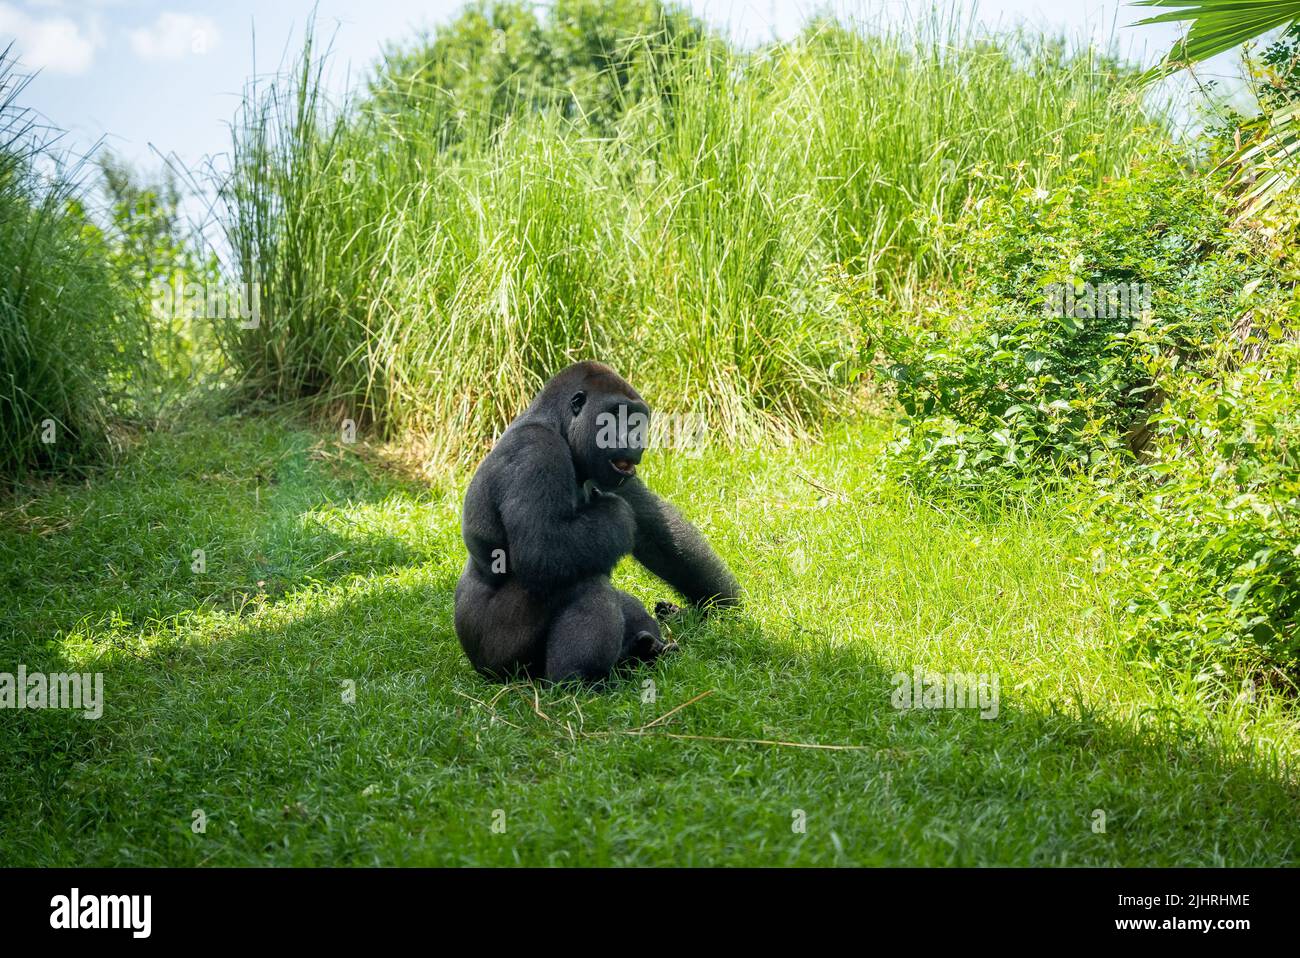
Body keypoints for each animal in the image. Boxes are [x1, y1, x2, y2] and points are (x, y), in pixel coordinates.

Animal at [453, 361, 740, 683]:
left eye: (637, 421)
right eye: (616, 415)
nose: (634, 439)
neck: (556, 424)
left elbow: (657, 533)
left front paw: (718, 606)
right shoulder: (537, 452)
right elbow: (542, 551)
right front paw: (617, 514)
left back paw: (639, 654)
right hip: (496, 660)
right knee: (583, 582)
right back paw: (581, 681)